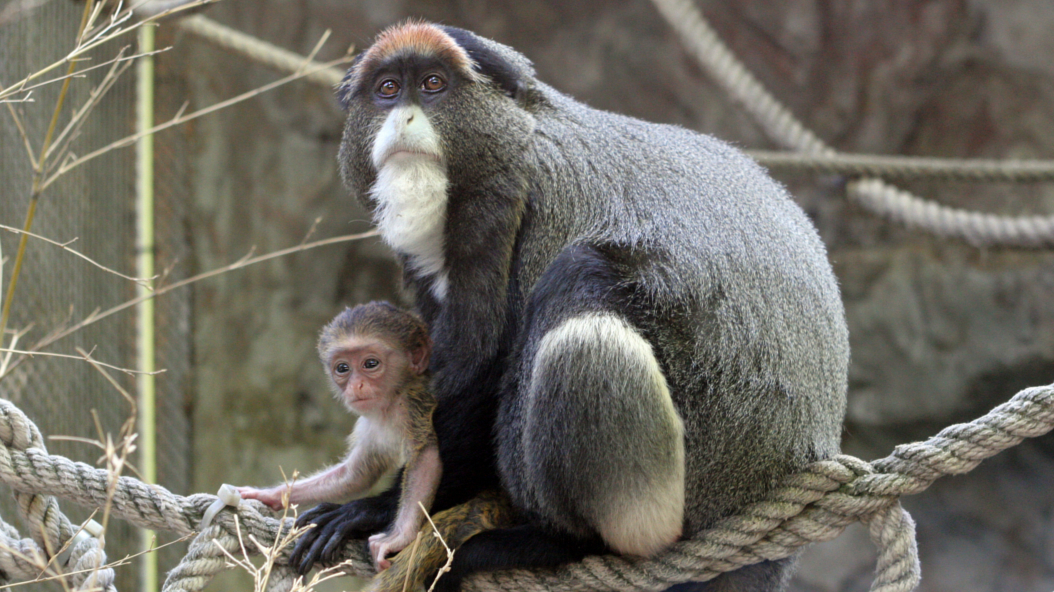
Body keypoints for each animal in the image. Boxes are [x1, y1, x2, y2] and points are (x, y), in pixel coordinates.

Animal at [238, 301, 441, 571]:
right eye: (343, 368)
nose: (356, 386)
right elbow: (354, 476)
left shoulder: (411, 406)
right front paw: (271, 495)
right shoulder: (370, 425)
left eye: (371, 364)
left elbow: (425, 455)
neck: (390, 405)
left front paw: (398, 536)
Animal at [290, 22, 849, 592]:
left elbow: (480, 368)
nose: (403, 117)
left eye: (432, 84)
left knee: (580, 301)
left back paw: (558, 542)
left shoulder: (503, 203)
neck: (518, 130)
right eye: (387, 89)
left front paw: (375, 510)